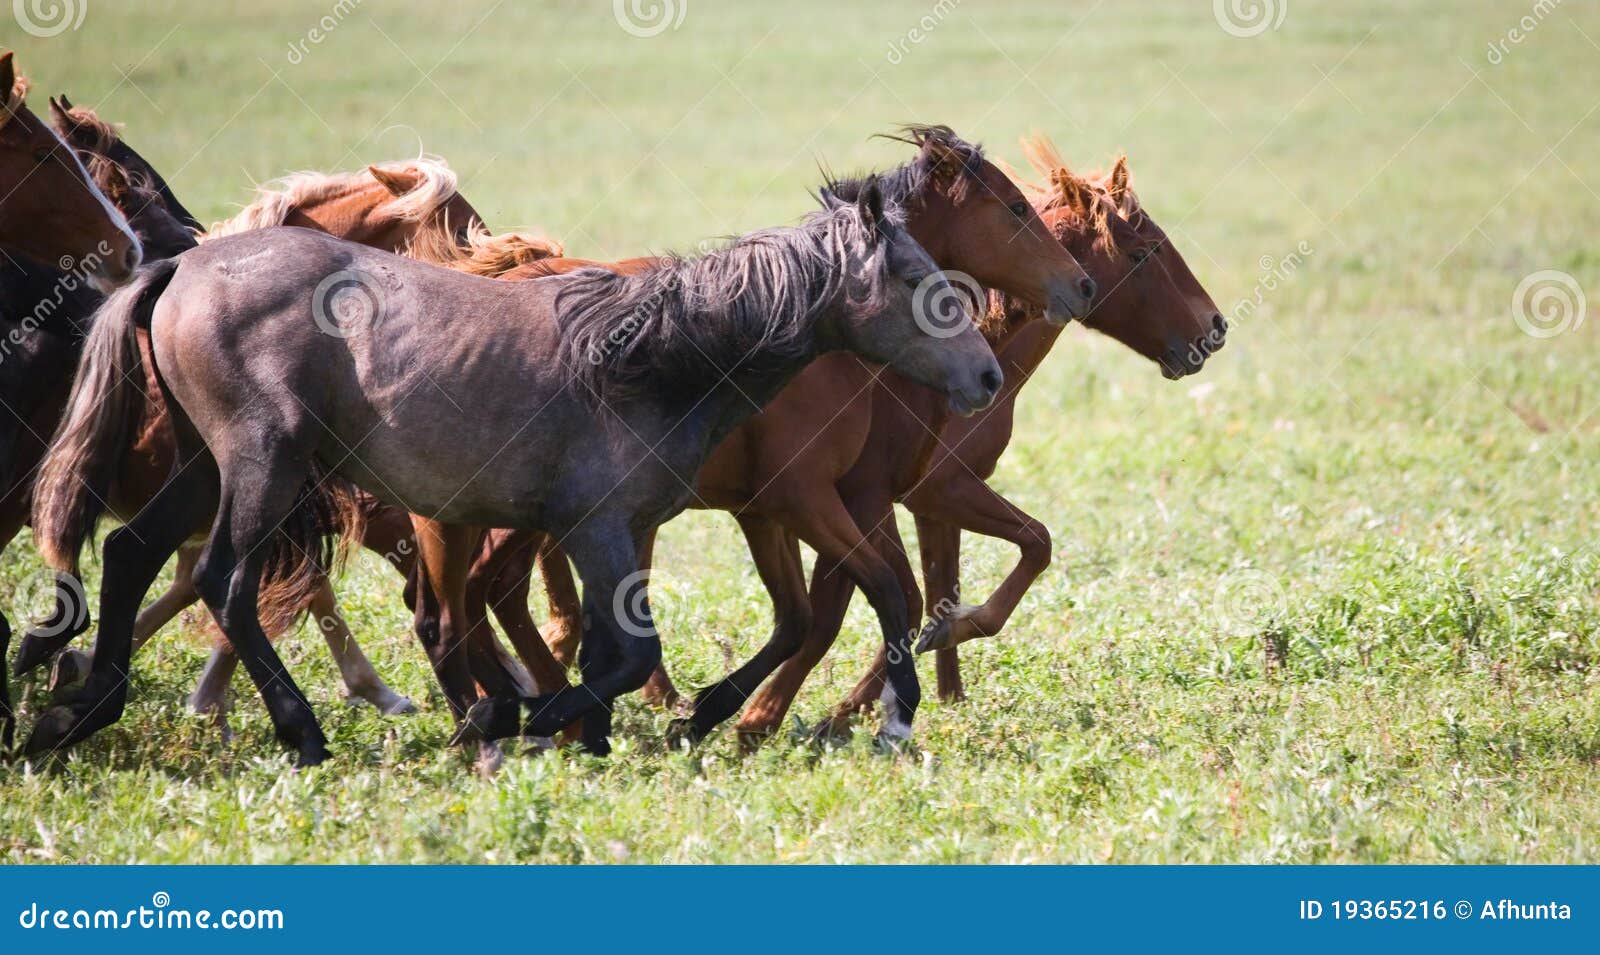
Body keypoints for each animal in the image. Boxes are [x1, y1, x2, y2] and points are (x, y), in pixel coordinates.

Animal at [25, 178, 1003, 767]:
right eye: (919, 281)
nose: (989, 377)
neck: (650, 358)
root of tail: (179, 266)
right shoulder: (602, 528)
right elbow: (632, 652)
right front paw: (531, 719)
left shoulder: (623, 533)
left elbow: (615, 647)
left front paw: (582, 732)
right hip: (264, 465)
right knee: (227, 582)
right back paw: (303, 733)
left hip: (206, 468)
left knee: (132, 554)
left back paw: (74, 715)